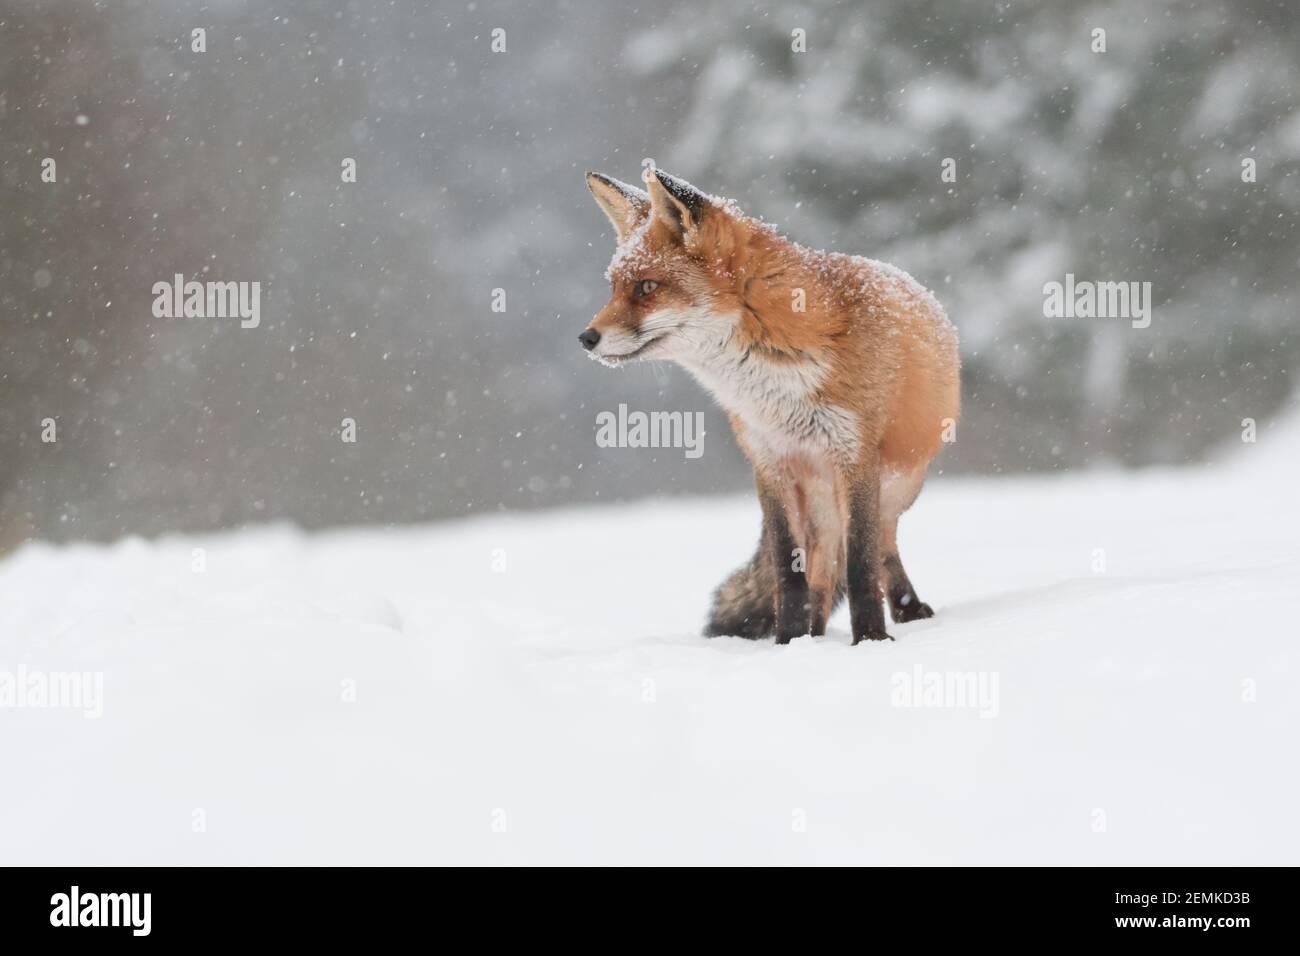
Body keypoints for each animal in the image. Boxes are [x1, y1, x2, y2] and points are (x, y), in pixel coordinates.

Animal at [580, 167, 960, 644]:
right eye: (613, 287)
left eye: (647, 287)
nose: (586, 338)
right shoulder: (769, 461)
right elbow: (788, 570)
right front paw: (790, 643)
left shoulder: (853, 454)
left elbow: (860, 562)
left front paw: (871, 640)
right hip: (823, 496)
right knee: (823, 566)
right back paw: (817, 631)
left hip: (898, 480)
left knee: (882, 541)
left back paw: (908, 611)